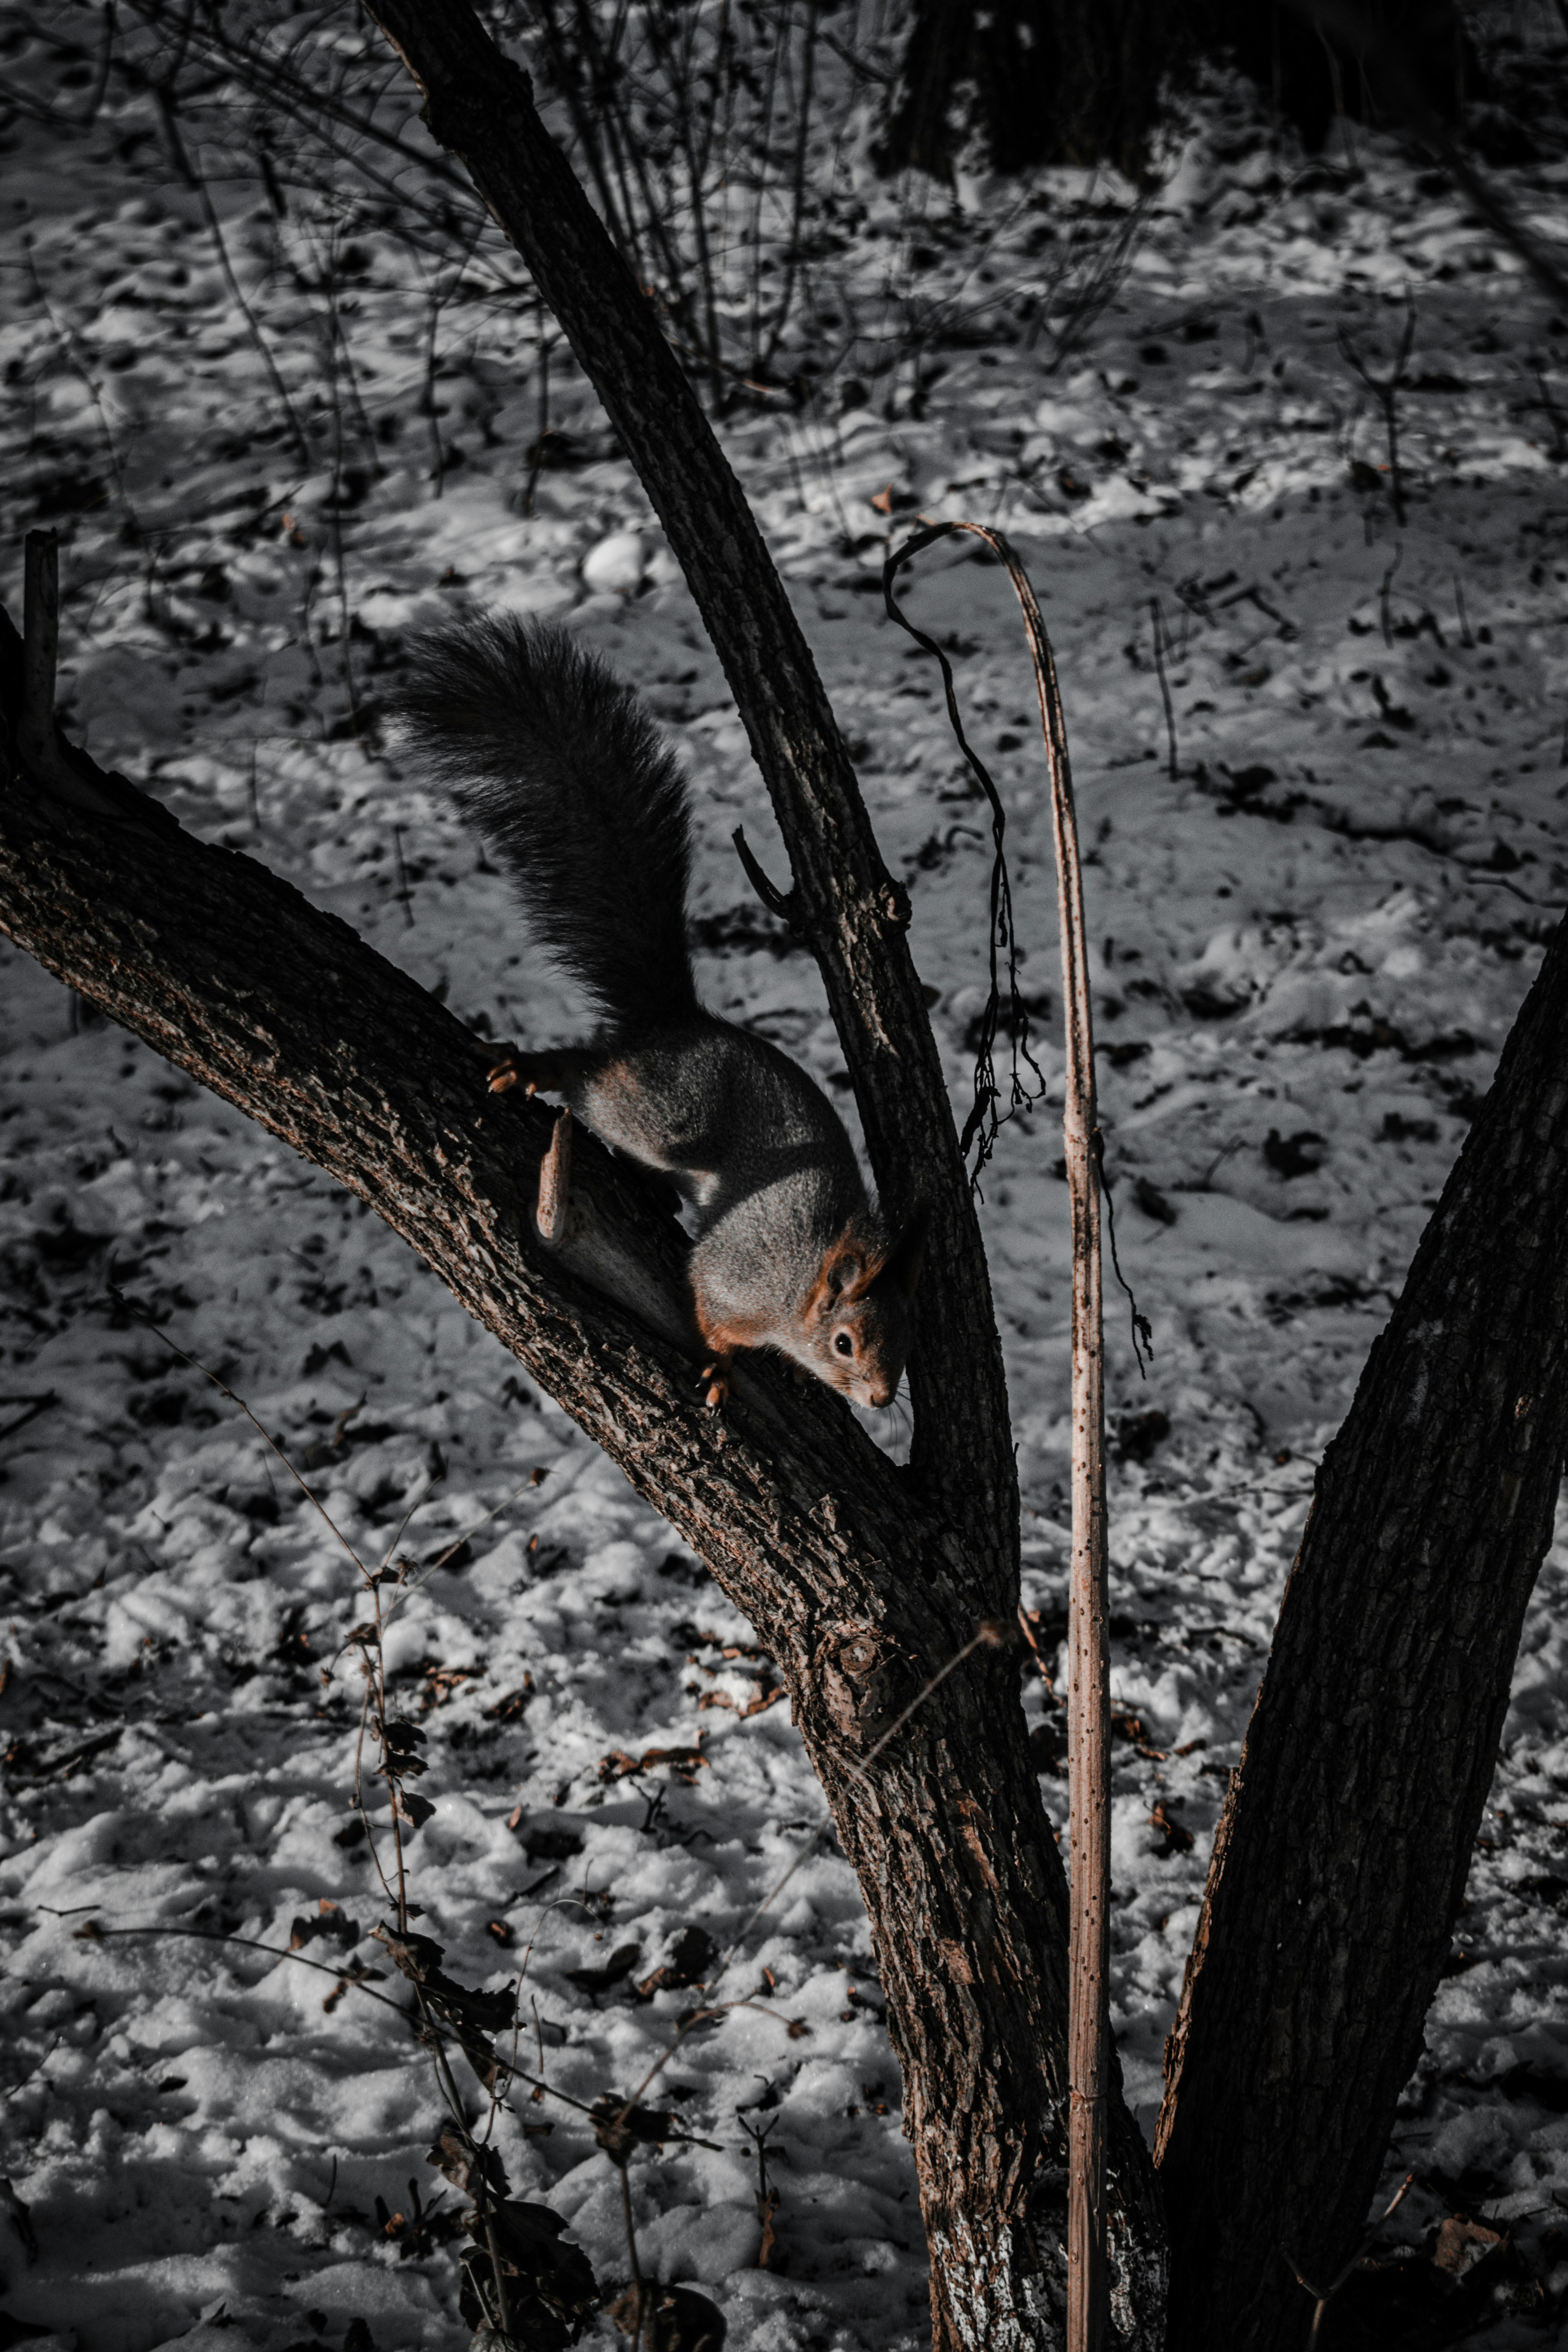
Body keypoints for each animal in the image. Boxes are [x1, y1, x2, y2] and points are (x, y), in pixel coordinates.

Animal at [399, 614, 927, 1412]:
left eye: (903, 1345)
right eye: (844, 1342)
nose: (876, 1400)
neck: (799, 1292)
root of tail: (678, 1022)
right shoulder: (736, 1277)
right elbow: (707, 1308)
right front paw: (721, 1364)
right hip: (668, 1111)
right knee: (593, 1075)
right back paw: (533, 1068)